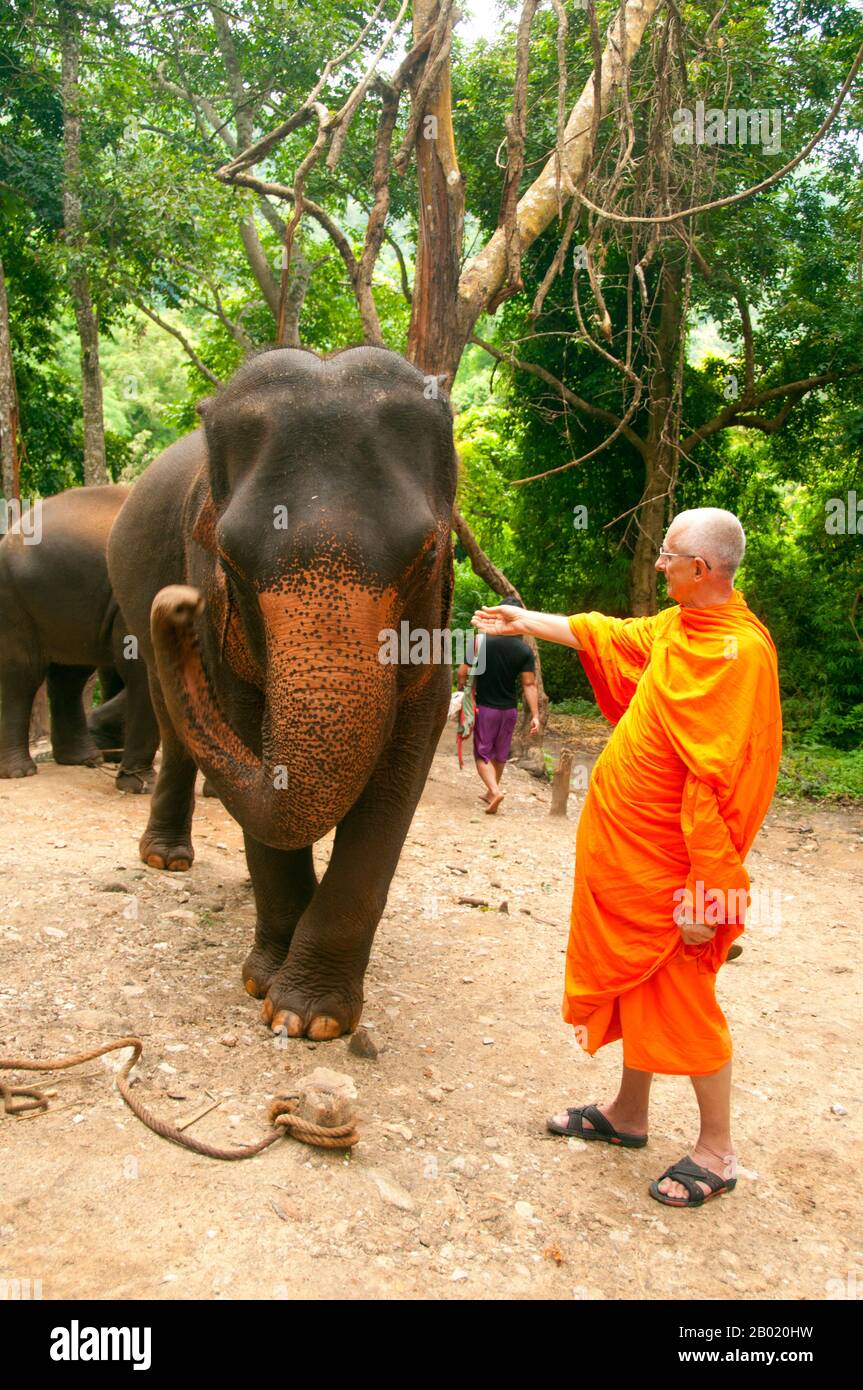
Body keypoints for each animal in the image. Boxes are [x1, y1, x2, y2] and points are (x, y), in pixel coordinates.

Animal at [0, 485, 160, 791]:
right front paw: (141, 786)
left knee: (70, 676)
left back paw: (85, 759)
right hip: (14, 600)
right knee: (23, 672)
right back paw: (20, 772)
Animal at [107, 345, 457, 1040]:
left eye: (426, 556)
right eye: (229, 562)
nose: (180, 605)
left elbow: (404, 764)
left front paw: (310, 1016)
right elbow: (245, 723)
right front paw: (265, 984)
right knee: (169, 719)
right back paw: (166, 859)